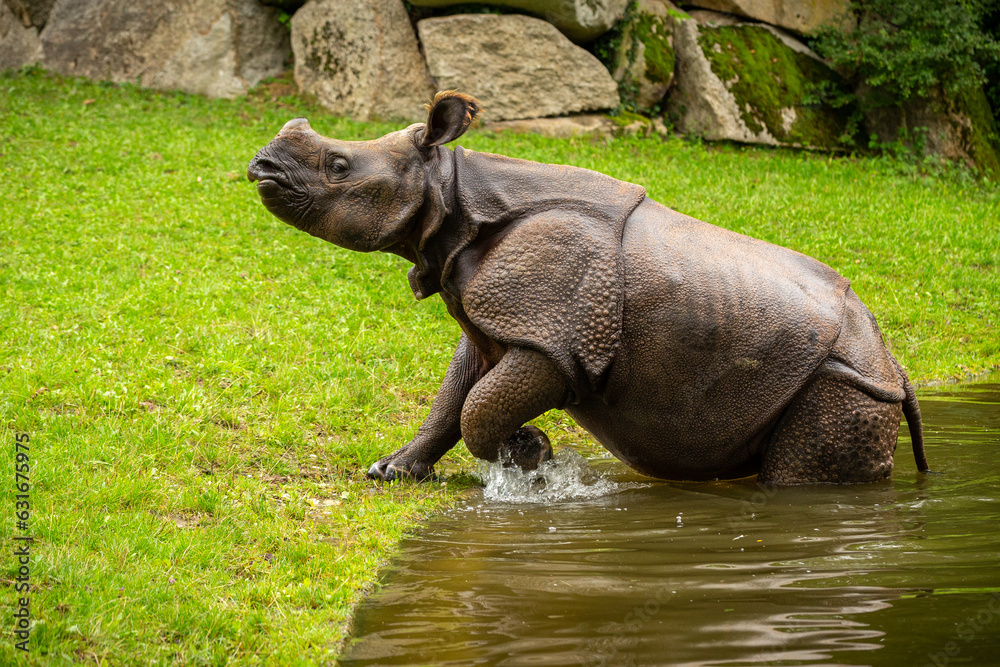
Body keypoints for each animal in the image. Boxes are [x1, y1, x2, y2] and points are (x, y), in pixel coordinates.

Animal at [247, 91, 928, 485]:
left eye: (339, 167)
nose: (259, 167)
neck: (454, 196)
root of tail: (893, 364)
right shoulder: (501, 317)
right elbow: (454, 394)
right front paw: (391, 471)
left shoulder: (556, 335)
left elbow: (479, 407)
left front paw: (531, 452)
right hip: (839, 369)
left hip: (844, 380)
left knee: (797, 477)